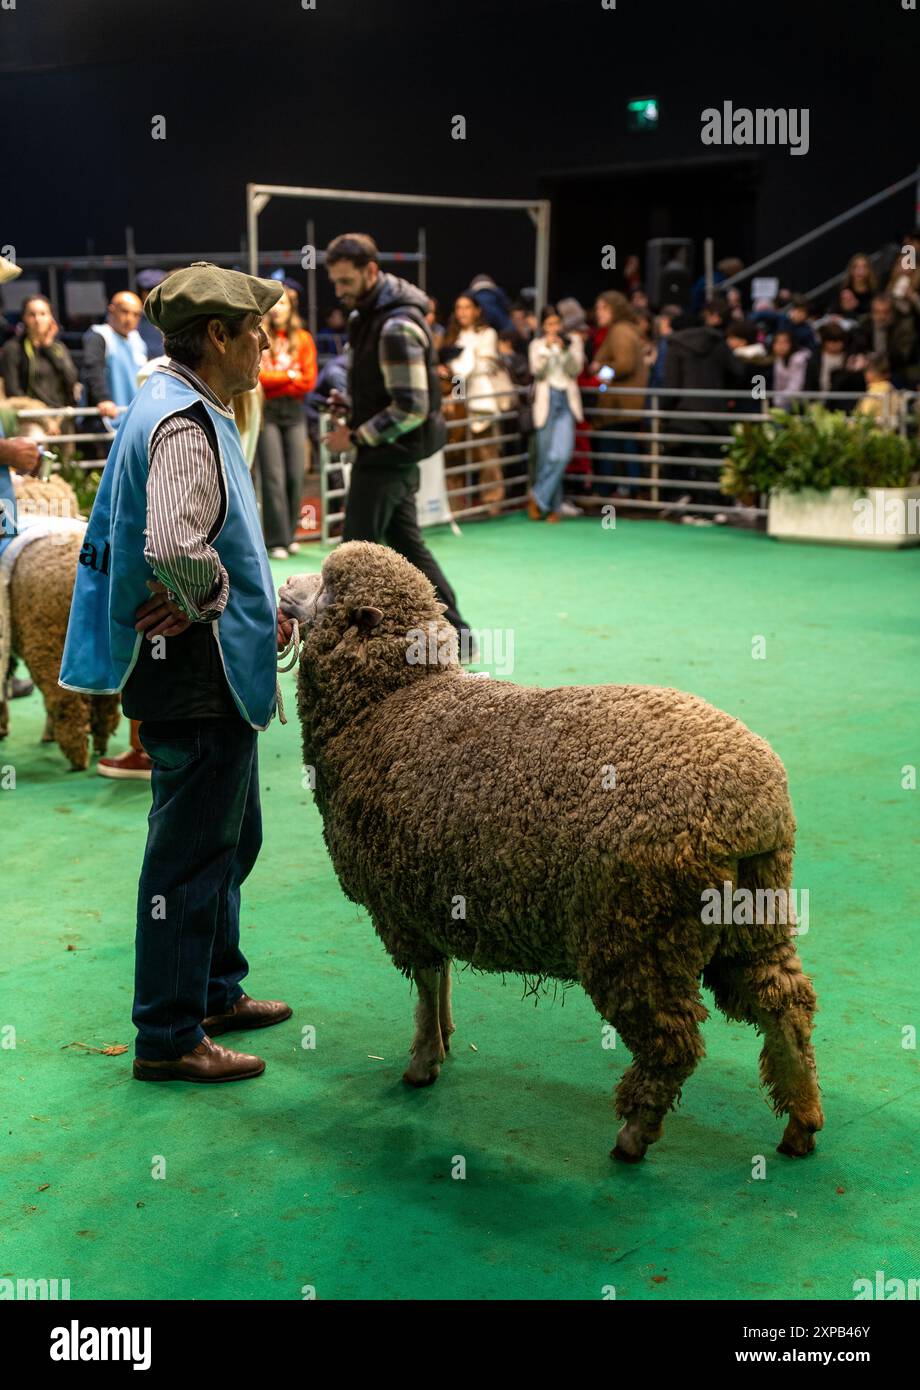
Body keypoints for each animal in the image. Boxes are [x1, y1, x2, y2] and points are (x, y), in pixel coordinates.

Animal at [279, 541, 823, 1163]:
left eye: (327, 585)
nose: (281, 586)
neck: (389, 703)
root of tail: (755, 809)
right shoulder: (430, 894)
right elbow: (440, 977)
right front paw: (445, 1036)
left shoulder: (399, 907)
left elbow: (424, 981)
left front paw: (422, 1061)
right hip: (752, 918)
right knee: (785, 1004)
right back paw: (801, 1121)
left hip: (635, 937)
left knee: (674, 1043)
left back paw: (634, 1134)